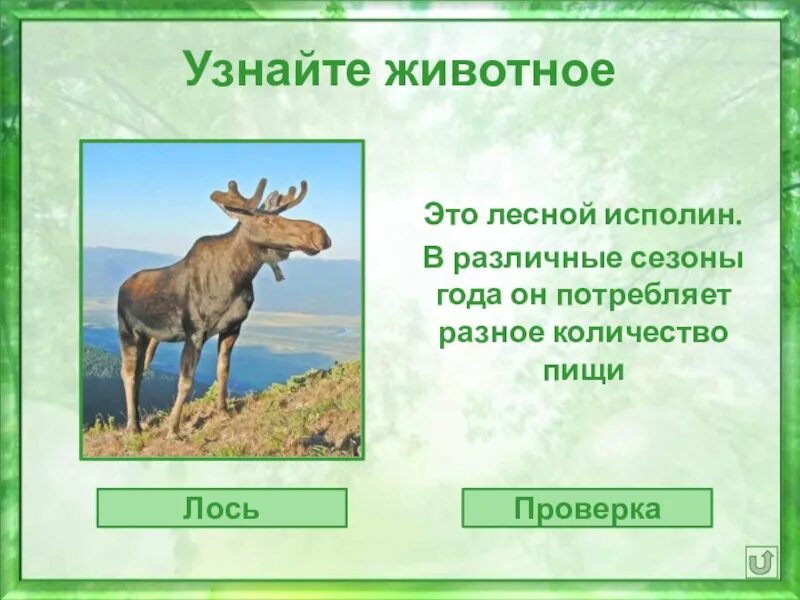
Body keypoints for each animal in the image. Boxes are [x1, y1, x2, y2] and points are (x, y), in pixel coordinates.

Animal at [116, 177, 331, 438]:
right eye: (266, 221)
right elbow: (185, 381)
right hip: (127, 330)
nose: (320, 234)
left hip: (149, 337)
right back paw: (133, 426)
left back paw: (137, 421)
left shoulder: (233, 328)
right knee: (128, 373)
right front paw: (174, 429)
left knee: (140, 370)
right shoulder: (195, 332)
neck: (236, 278)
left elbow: (223, 370)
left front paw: (223, 410)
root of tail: (122, 286)